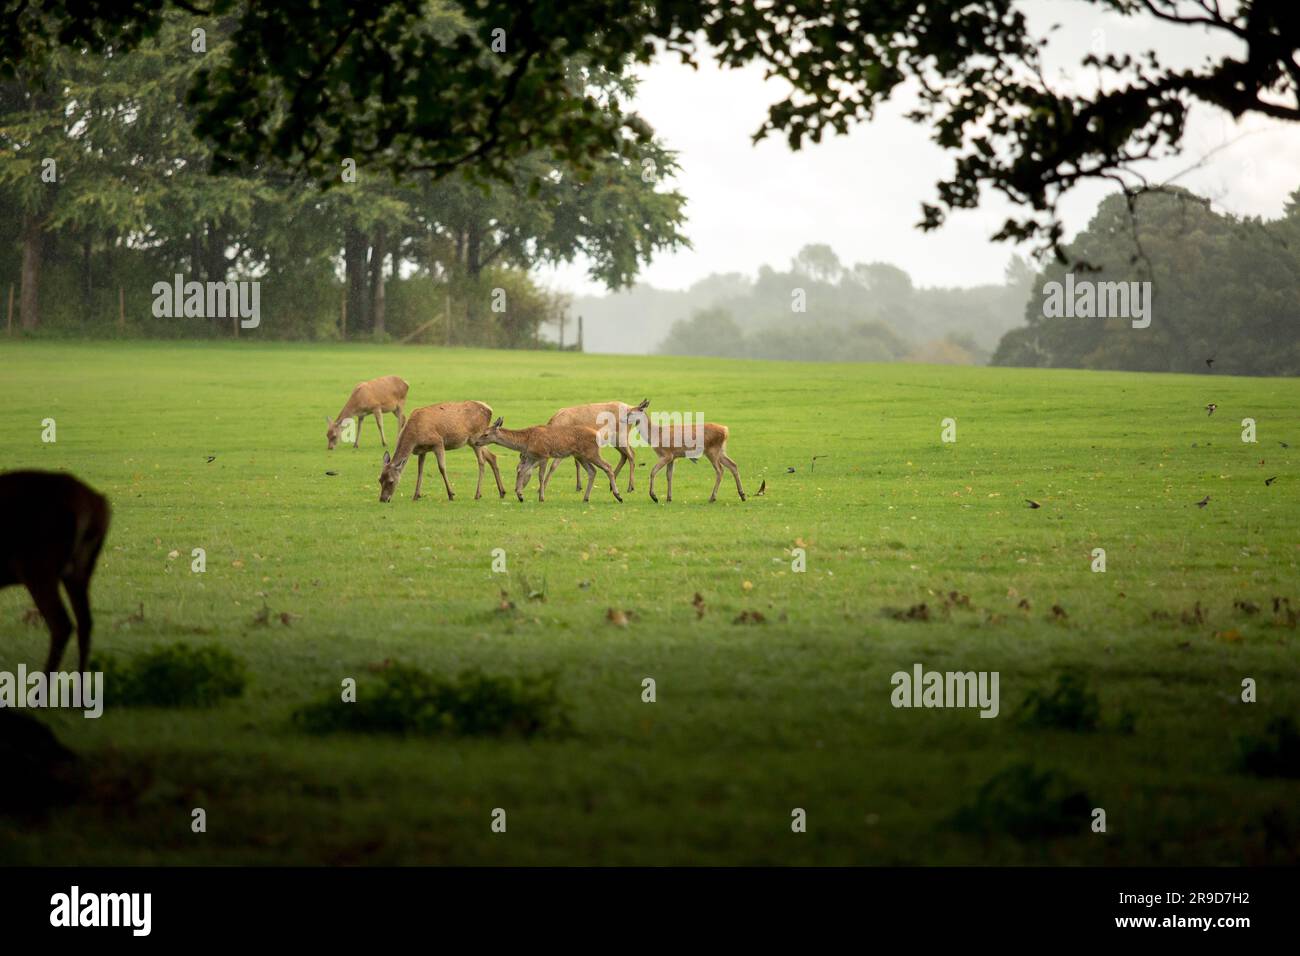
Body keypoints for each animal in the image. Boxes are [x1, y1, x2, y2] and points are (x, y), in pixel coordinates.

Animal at [480, 417, 623, 504]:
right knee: (592, 471)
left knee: (607, 466)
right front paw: (520, 496)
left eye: (485, 434)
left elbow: (540, 476)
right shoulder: (532, 456)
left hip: (592, 452)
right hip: (580, 456)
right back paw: (586, 498)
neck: (526, 441)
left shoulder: (544, 455)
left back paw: (618, 495)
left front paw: (541, 497)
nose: (476, 442)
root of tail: (597, 435)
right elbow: (522, 471)